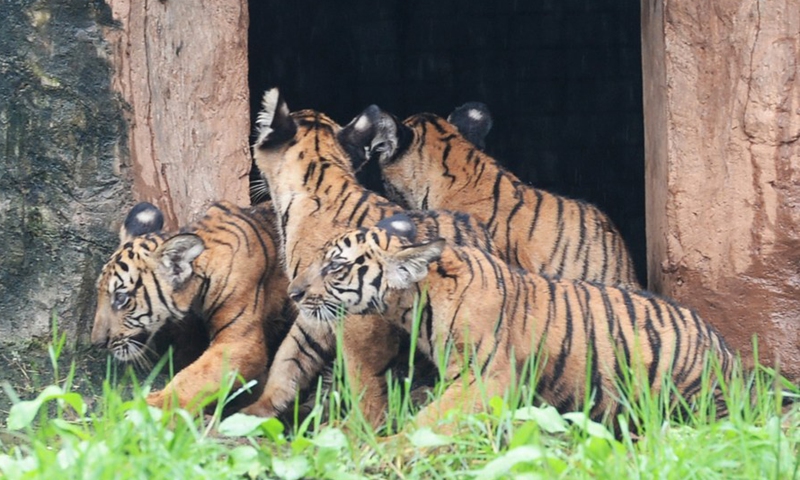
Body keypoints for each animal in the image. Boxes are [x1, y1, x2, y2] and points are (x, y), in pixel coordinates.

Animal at [243, 88, 497, 426]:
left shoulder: (358, 320)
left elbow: (362, 378)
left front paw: (360, 429)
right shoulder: (314, 306)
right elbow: (291, 354)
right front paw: (259, 409)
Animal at [287, 213, 739, 434]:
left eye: (335, 266)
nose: (292, 293)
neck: (412, 303)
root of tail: (729, 353)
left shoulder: (485, 377)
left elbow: (428, 424)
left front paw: (385, 449)